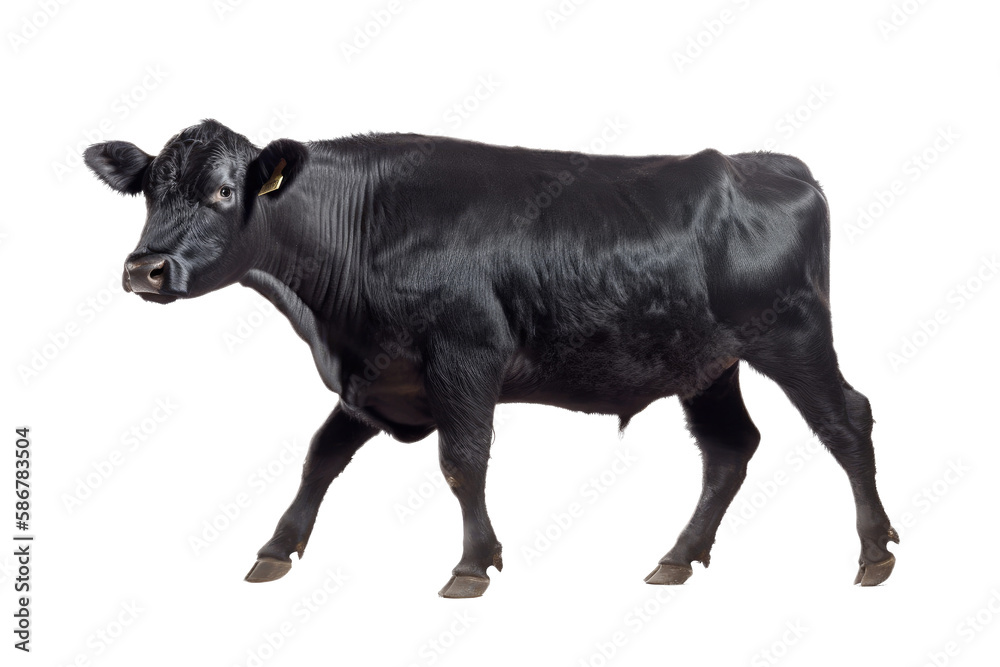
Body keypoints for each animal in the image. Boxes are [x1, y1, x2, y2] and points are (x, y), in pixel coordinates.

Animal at [83, 119, 897, 598]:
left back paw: (873, 551)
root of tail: (773, 163)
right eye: (148, 192)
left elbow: (461, 461)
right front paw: (278, 548)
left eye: (224, 191)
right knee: (730, 448)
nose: (144, 269)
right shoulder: (373, 376)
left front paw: (473, 563)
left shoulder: (466, 357)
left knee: (846, 421)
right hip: (706, 363)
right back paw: (676, 557)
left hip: (792, 335)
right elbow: (321, 455)